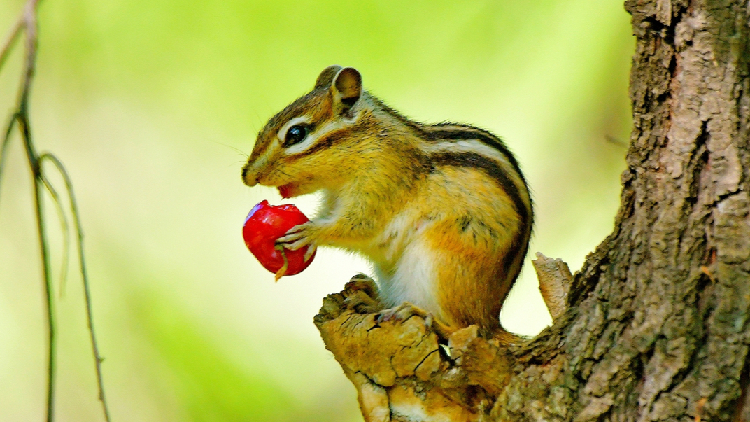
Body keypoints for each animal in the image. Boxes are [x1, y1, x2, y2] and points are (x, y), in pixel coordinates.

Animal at [242, 65, 533, 337]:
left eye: (296, 134)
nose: (247, 175)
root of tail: (492, 318)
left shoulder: (382, 182)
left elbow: (360, 226)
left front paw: (310, 232)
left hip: (443, 263)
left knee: (462, 327)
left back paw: (416, 312)